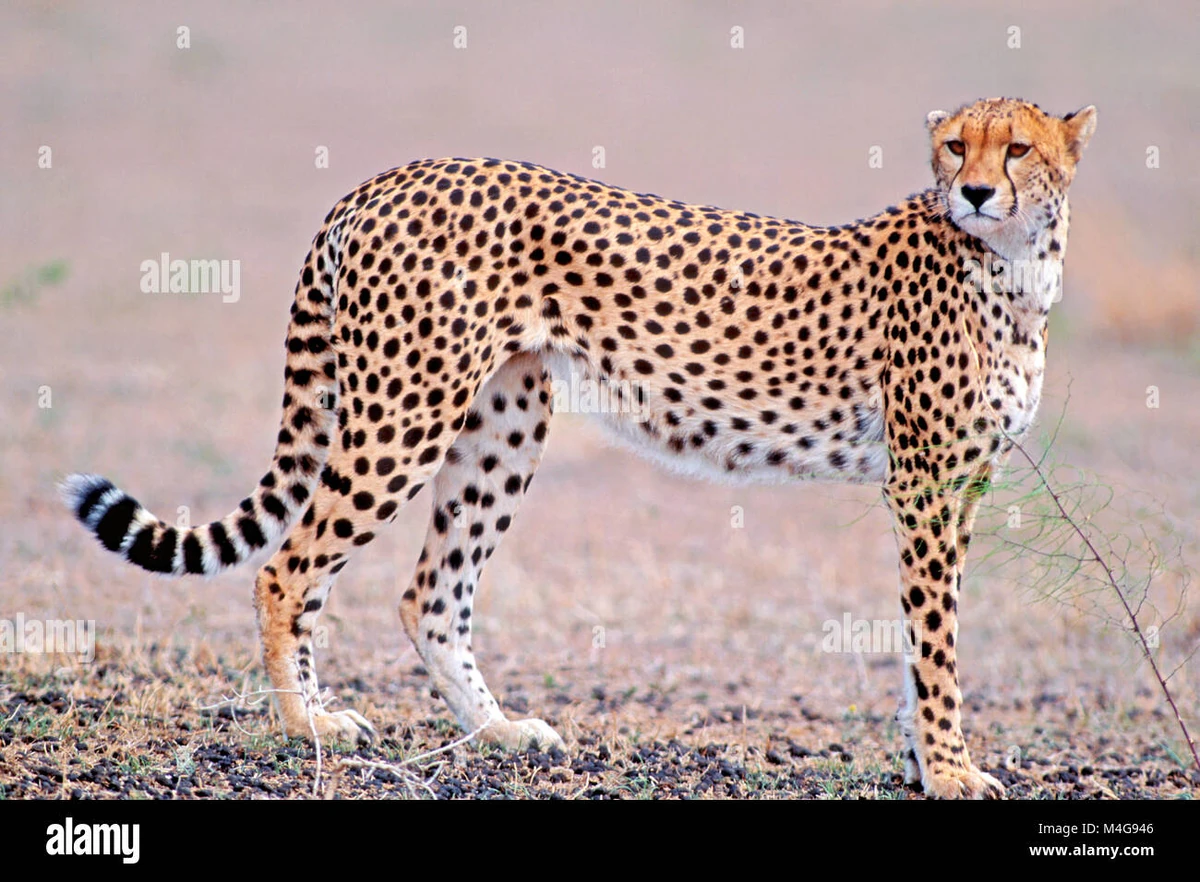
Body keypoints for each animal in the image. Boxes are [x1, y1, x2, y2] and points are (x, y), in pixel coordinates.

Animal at [61, 97, 1096, 799]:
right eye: (958, 144)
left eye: (1019, 147)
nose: (975, 190)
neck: (1014, 268)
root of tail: (389, 176)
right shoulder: (927, 481)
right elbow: (936, 638)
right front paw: (952, 769)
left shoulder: (954, 484)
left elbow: (926, 634)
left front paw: (930, 761)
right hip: (408, 410)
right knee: (288, 570)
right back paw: (307, 722)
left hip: (504, 418)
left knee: (429, 593)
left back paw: (497, 732)